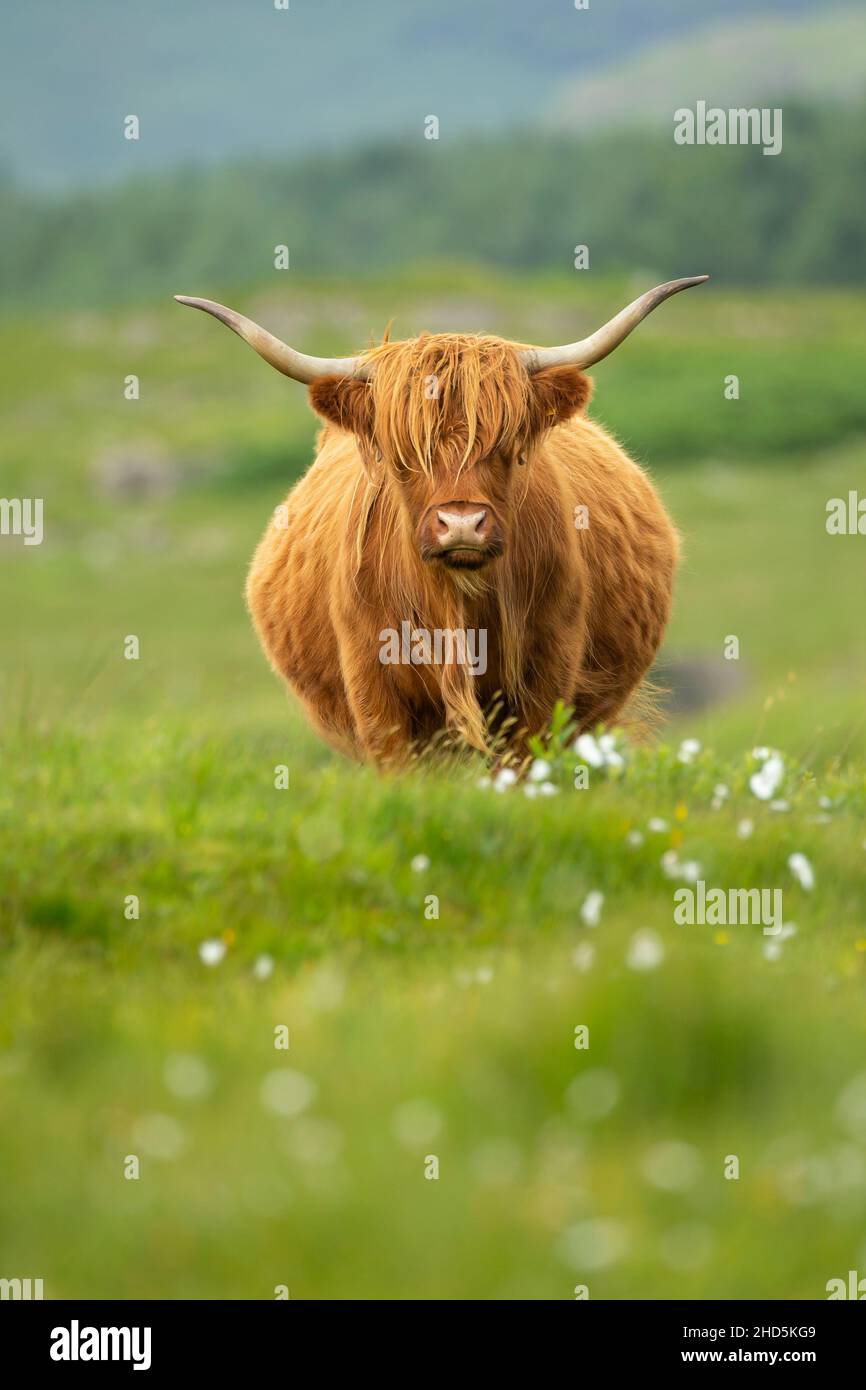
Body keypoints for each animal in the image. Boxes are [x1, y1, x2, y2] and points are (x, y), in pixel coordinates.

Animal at [176, 277, 707, 767]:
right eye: (403, 455)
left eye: (507, 446)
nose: (462, 524)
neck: (459, 603)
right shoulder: (374, 689)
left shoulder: (548, 676)